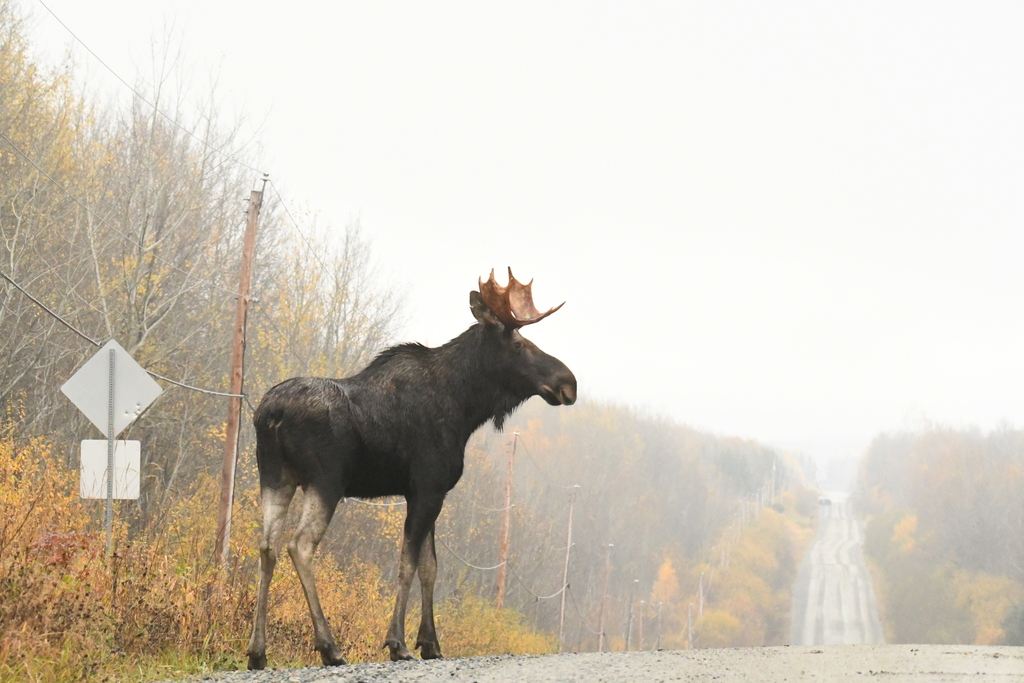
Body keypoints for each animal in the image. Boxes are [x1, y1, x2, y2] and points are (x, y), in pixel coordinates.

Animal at [246, 269, 577, 669]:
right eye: (517, 344)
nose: (568, 382)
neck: (466, 406)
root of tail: (271, 414)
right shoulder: (429, 487)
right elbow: (408, 562)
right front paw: (398, 643)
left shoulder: (423, 491)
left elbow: (429, 567)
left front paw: (430, 643)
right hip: (325, 481)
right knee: (300, 545)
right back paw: (329, 646)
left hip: (275, 477)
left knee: (267, 546)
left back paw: (257, 651)